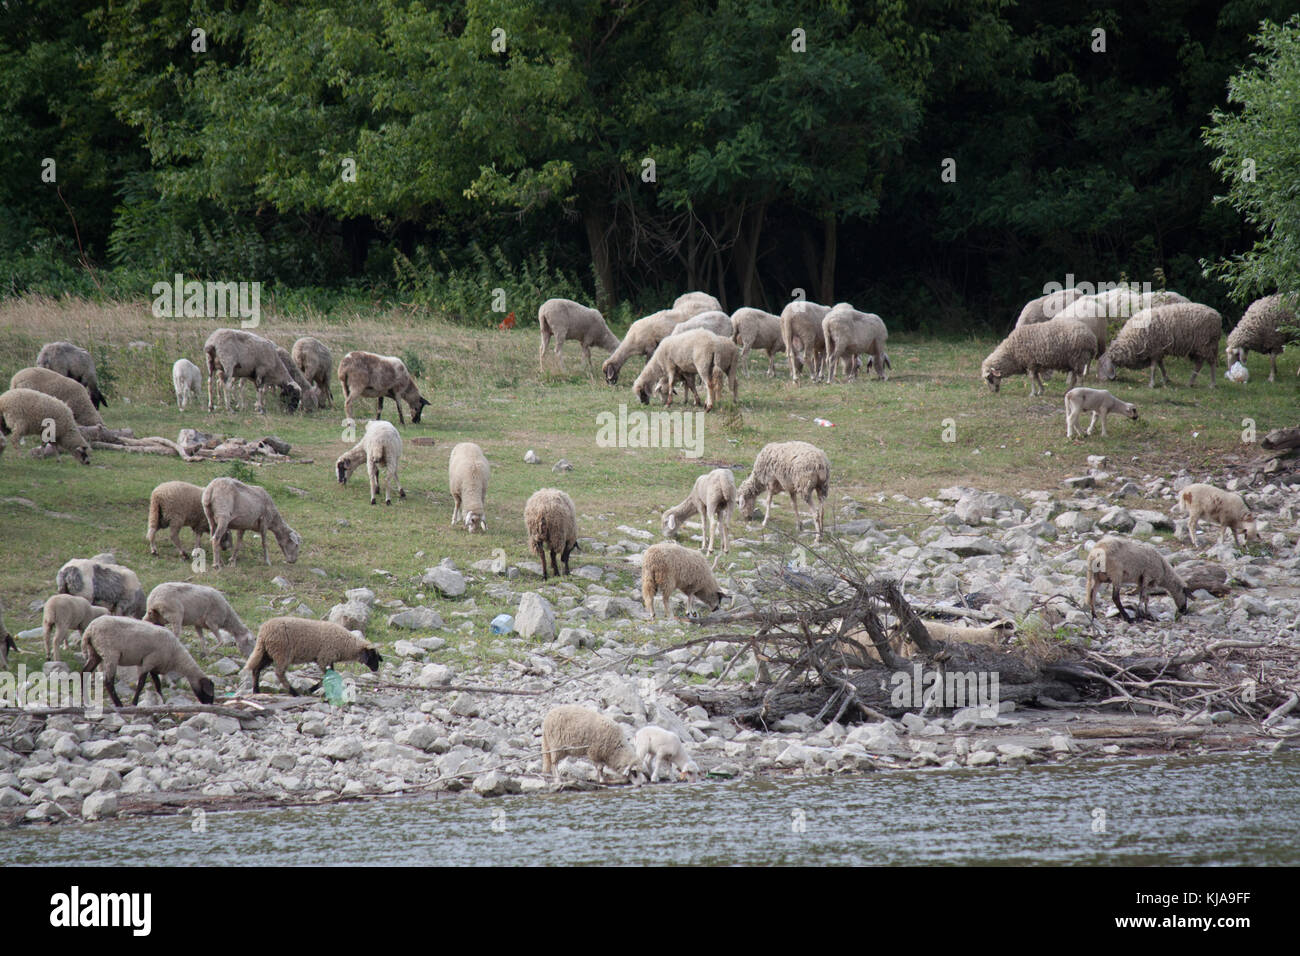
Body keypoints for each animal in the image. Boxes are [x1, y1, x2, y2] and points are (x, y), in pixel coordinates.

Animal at [80, 616, 215, 707]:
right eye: (209, 692)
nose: (209, 705)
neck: (176, 655)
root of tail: (89, 630)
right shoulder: (148, 661)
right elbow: (141, 684)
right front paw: (134, 703)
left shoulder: (155, 665)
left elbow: (157, 684)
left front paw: (162, 700)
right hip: (110, 654)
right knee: (108, 681)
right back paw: (119, 704)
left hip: (95, 652)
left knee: (84, 672)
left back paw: (84, 698)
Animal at [244, 617, 381, 695]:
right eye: (372, 655)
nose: (376, 669)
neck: (346, 645)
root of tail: (263, 632)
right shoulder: (324, 658)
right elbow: (328, 676)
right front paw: (311, 689)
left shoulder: (327, 659)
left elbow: (330, 675)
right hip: (282, 653)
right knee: (279, 673)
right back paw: (293, 692)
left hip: (268, 653)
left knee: (256, 669)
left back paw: (256, 690)